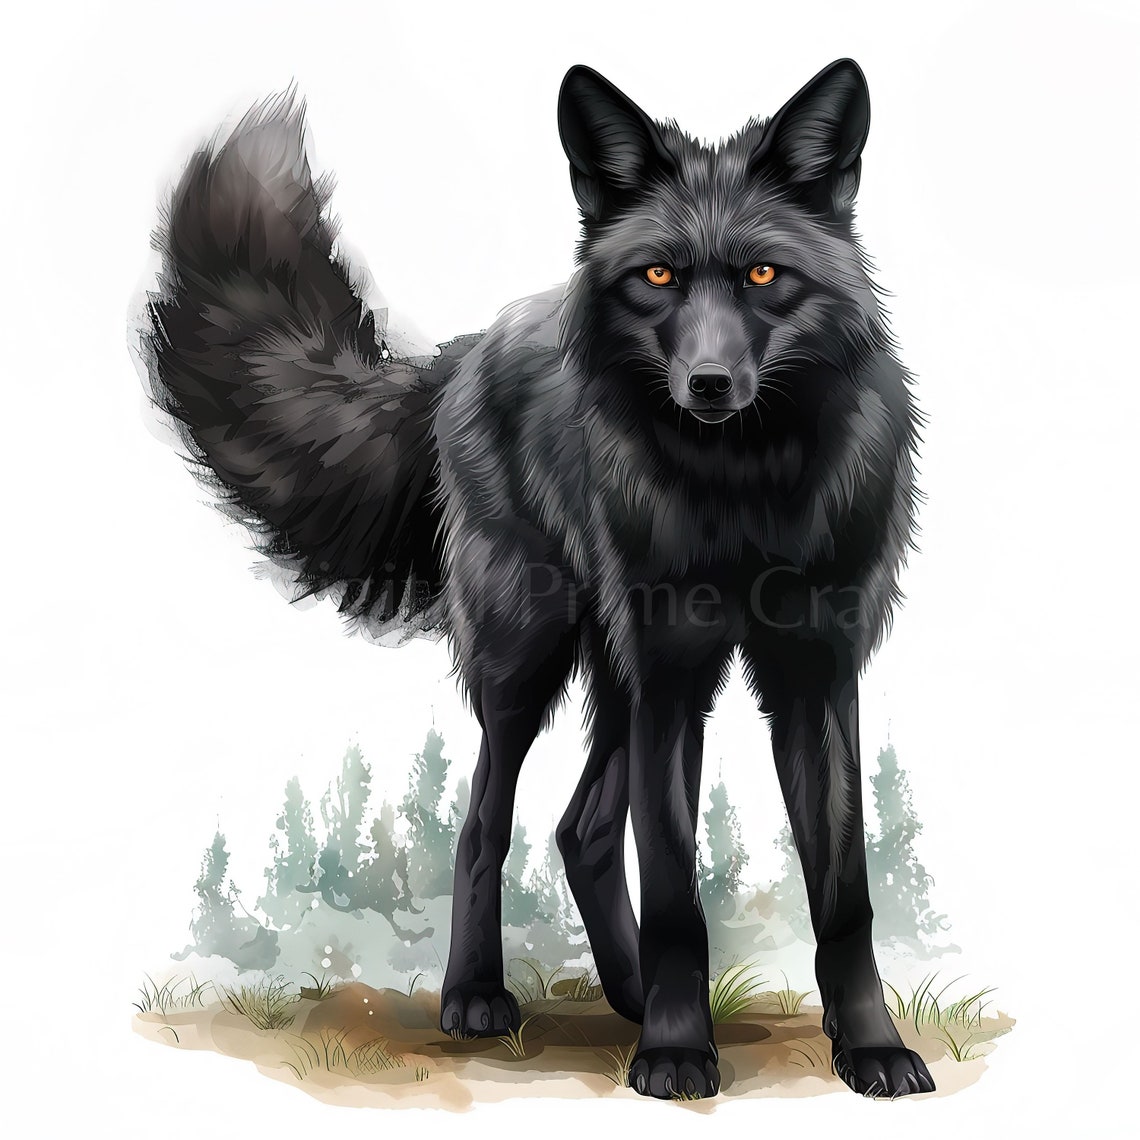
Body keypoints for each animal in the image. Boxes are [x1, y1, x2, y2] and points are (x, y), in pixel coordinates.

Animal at [141, 59, 932, 1099]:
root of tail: (468, 351)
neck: (743, 491)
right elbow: (674, 887)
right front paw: (677, 1055)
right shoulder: (673, 678)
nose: (709, 384)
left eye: (765, 276)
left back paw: (630, 996)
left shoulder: (813, 675)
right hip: (531, 660)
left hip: (622, 680)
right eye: (657, 277)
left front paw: (870, 1049)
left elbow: (843, 894)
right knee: (487, 823)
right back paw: (480, 996)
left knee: (582, 830)